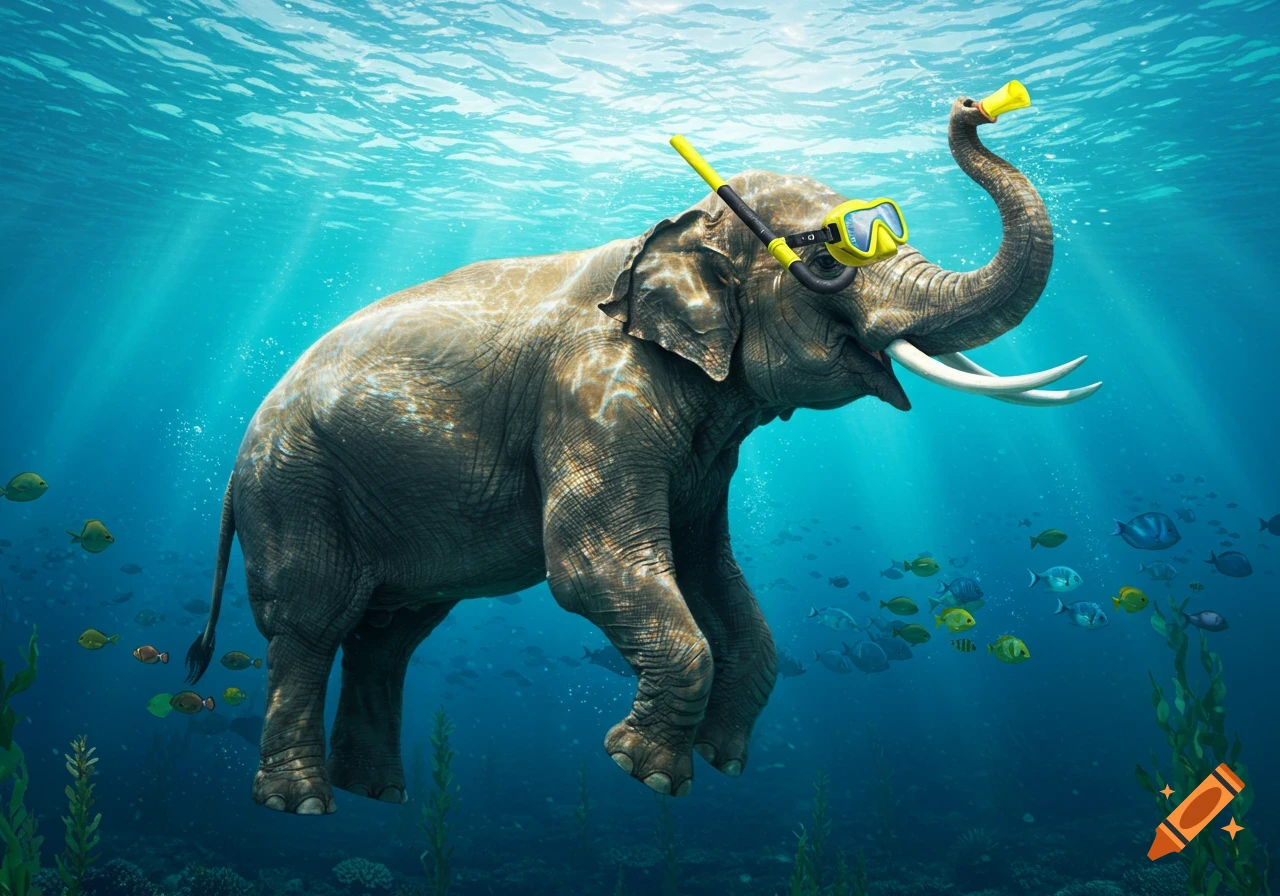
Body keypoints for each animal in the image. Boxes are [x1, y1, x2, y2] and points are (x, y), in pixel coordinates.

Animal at [185, 88, 1098, 815]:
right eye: (837, 249)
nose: (974, 106)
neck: (671, 226)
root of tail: (236, 456)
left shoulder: (703, 453)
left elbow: (711, 576)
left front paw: (721, 763)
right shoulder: (591, 396)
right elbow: (592, 566)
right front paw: (646, 773)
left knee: (390, 635)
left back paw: (377, 795)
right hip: (294, 488)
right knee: (310, 626)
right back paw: (303, 806)